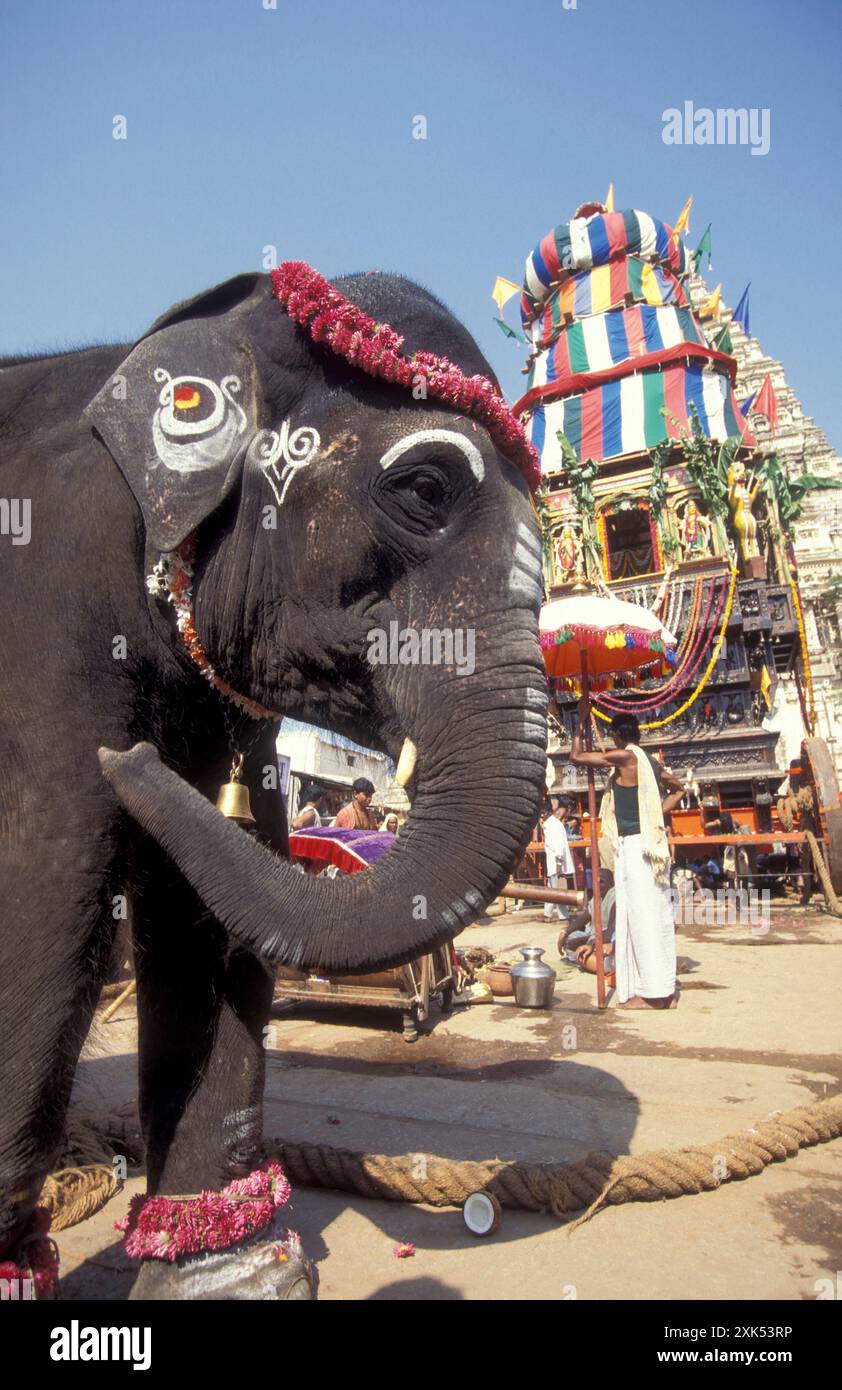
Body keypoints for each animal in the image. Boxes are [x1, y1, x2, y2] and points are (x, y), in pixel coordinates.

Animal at [0, 264, 547, 1298]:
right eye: (425, 487)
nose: (129, 761)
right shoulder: (43, 610)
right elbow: (47, 892)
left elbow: (206, 897)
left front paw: (230, 1273)